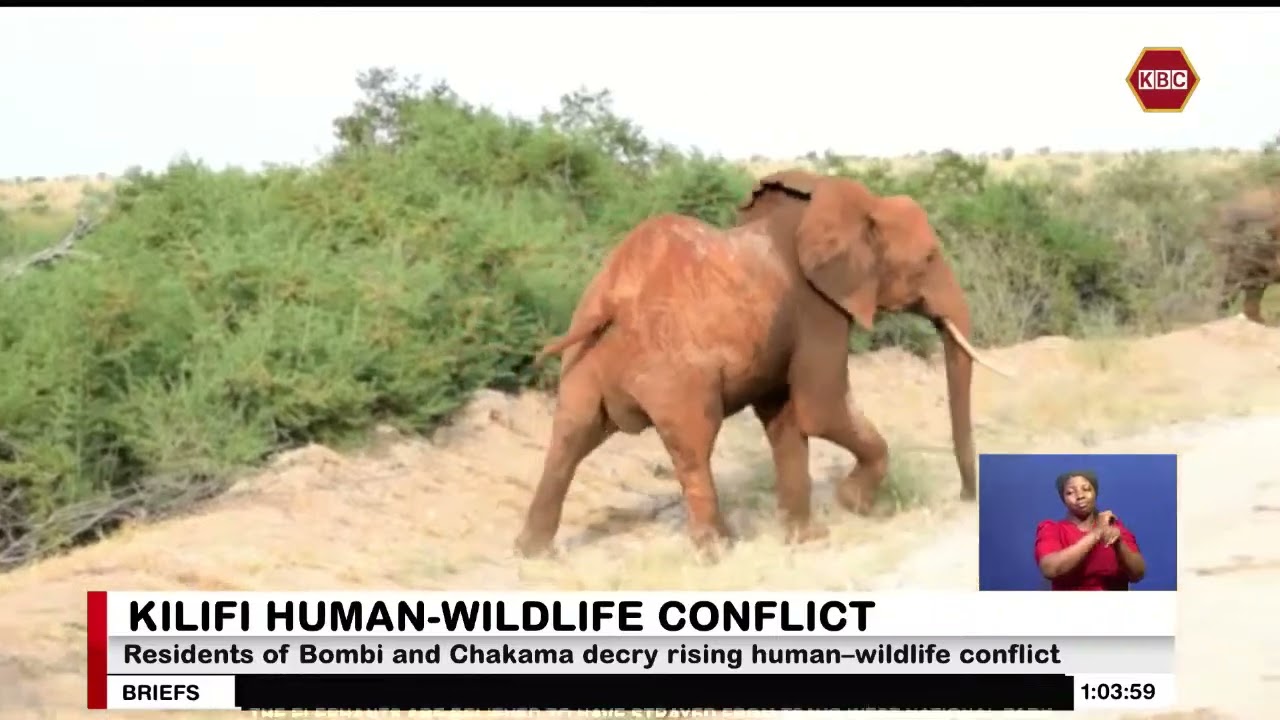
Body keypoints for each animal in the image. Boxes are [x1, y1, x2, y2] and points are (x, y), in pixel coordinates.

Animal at [513, 170, 1013, 558]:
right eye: (929, 258)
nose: (967, 498)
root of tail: (611, 297)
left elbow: (786, 419)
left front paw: (808, 539)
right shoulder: (817, 311)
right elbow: (821, 408)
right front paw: (852, 504)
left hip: (584, 361)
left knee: (569, 436)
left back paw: (532, 553)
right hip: (674, 369)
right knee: (693, 444)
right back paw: (719, 549)